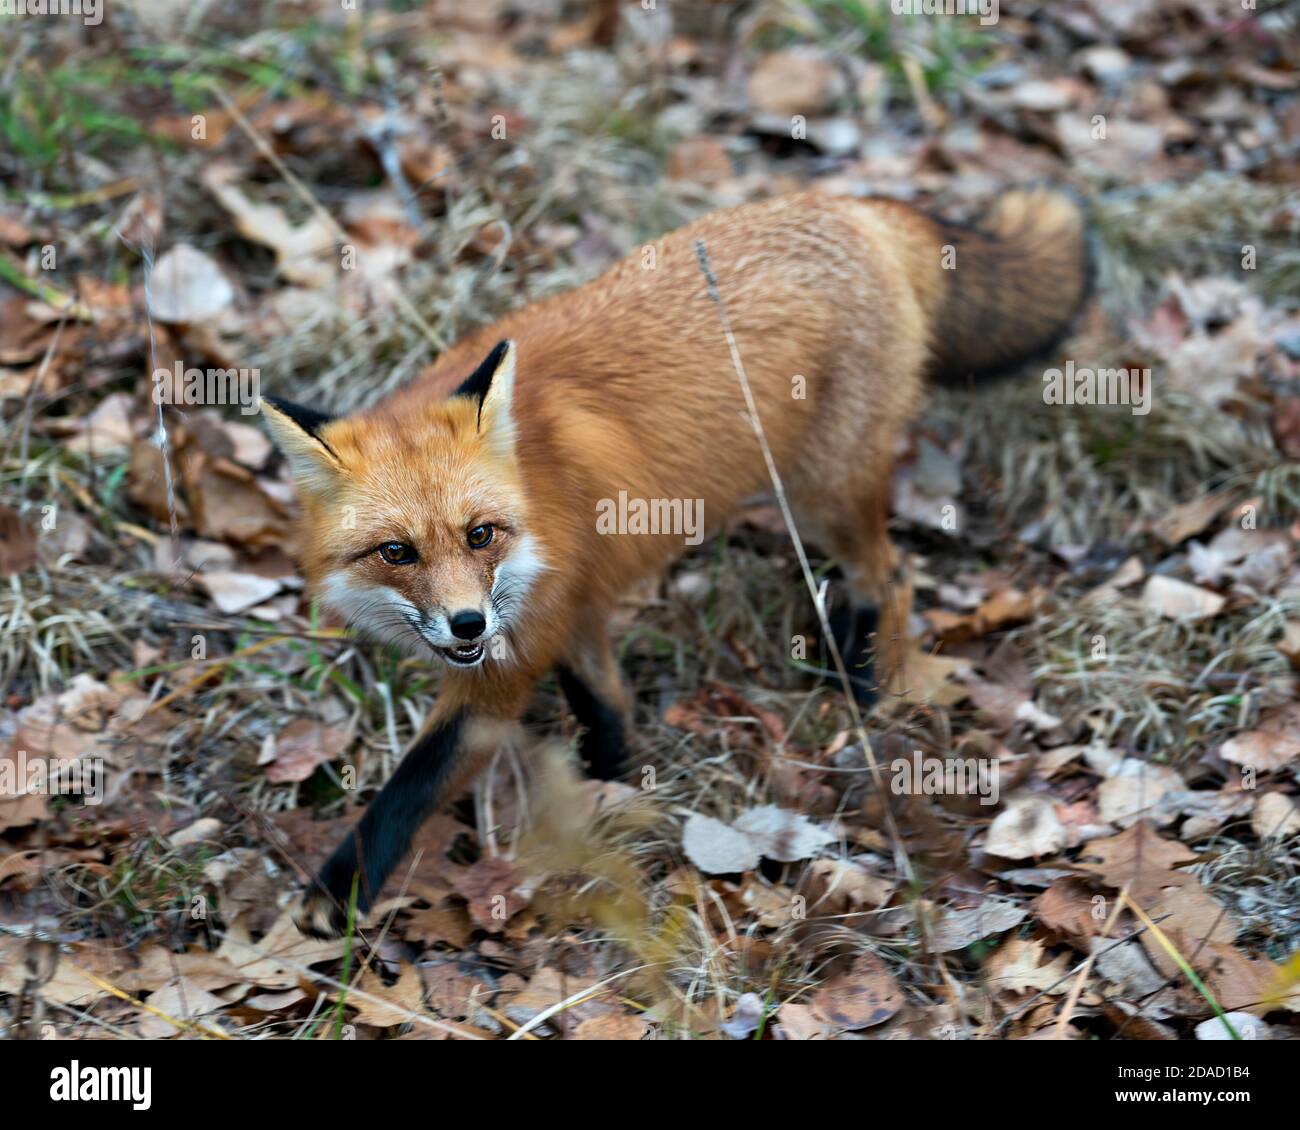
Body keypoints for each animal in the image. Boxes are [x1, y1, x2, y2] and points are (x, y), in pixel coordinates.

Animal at [263, 187, 1092, 936]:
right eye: (396, 552)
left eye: (479, 535)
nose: (466, 625)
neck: (535, 492)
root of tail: (853, 204)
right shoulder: (565, 609)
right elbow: (604, 705)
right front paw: (613, 785)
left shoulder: (505, 665)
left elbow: (414, 781)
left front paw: (336, 893)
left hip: (821, 492)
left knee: (891, 575)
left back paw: (859, 682)